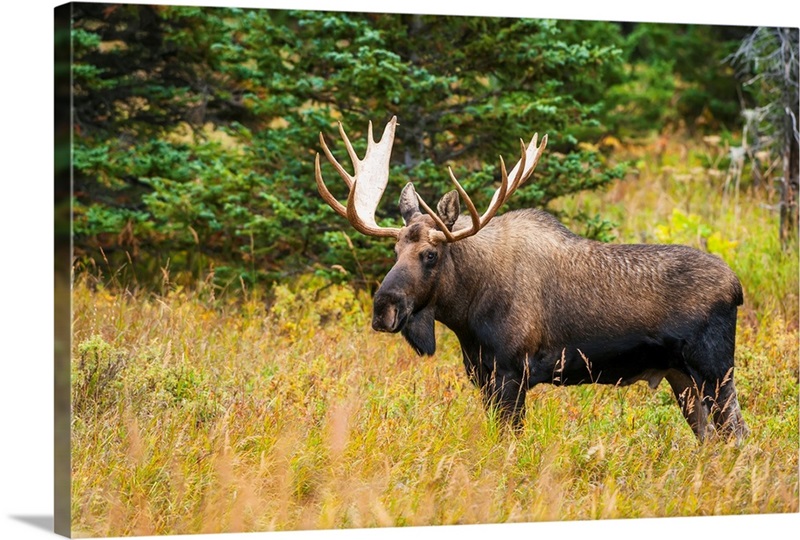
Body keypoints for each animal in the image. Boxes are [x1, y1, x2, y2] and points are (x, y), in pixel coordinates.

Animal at [314, 116, 749, 442]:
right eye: (394, 251)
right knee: (712, 438)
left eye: (430, 254)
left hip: (714, 371)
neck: (466, 313)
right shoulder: (482, 376)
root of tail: (738, 287)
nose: (383, 309)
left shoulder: (512, 373)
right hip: (682, 377)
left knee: (737, 435)